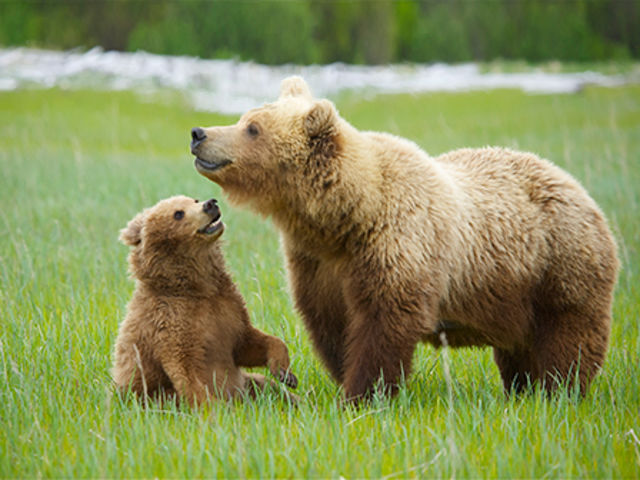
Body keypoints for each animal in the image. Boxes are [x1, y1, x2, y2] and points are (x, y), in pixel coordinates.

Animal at [112, 195, 298, 406]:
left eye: (194, 200)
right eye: (178, 213)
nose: (210, 203)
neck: (194, 286)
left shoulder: (227, 308)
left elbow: (248, 342)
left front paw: (285, 373)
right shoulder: (169, 321)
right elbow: (188, 370)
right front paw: (217, 407)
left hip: (246, 383)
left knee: (265, 386)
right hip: (152, 396)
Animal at [190, 76, 619, 402]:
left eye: (252, 128)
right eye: (245, 118)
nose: (198, 133)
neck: (346, 216)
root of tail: (577, 186)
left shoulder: (397, 242)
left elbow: (384, 322)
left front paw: (362, 393)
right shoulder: (317, 262)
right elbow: (330, 321)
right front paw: (344, 378)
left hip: (558, 263)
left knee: (567, 335)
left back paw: (557, 390)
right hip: (514, 290)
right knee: (517, 346)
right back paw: (521, 387)